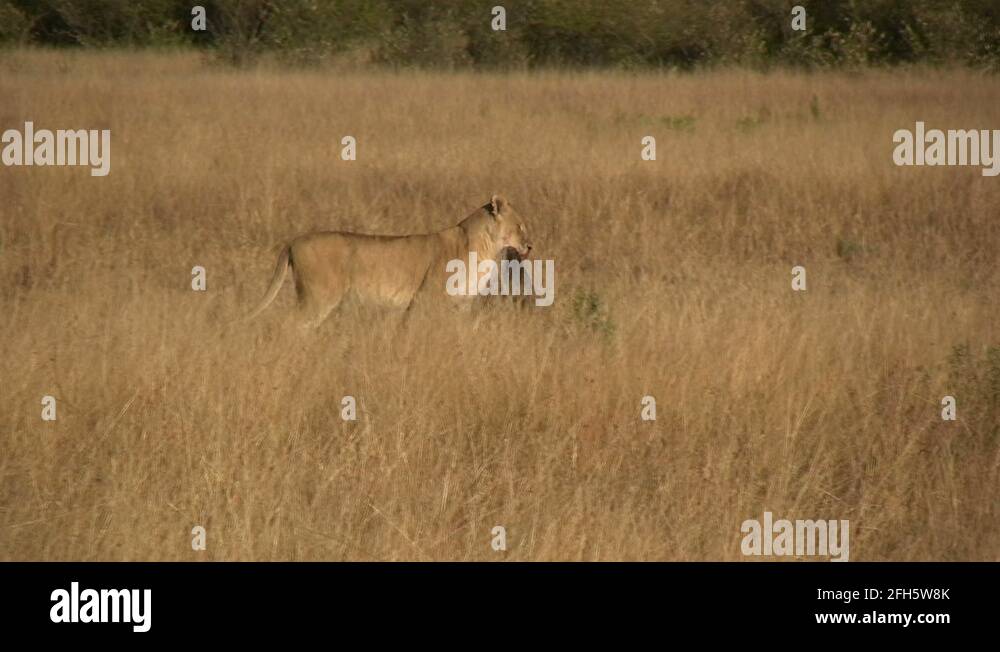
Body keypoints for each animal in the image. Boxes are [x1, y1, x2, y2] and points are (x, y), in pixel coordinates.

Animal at [244, 194, 533, 326]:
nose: (529, 246)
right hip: (317, 299)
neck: (485, 249)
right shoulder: (426, 302)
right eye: (519, 226)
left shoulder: (459, 307)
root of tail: (293, 241)